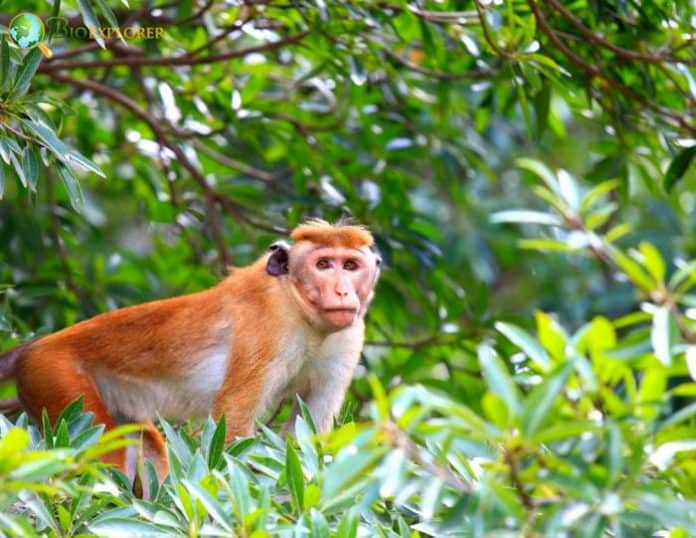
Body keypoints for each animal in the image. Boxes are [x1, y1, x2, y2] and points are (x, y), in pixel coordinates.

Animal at [0, 219, 381, 485]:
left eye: (350, 266)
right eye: (323, 264)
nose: (342, 292)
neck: (299, 308)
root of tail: (34, 347)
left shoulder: (349, 337)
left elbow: (308, 432)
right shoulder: (268, 327)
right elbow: (232, 423)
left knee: (147, 443)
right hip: (54, 376)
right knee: (117, 446)